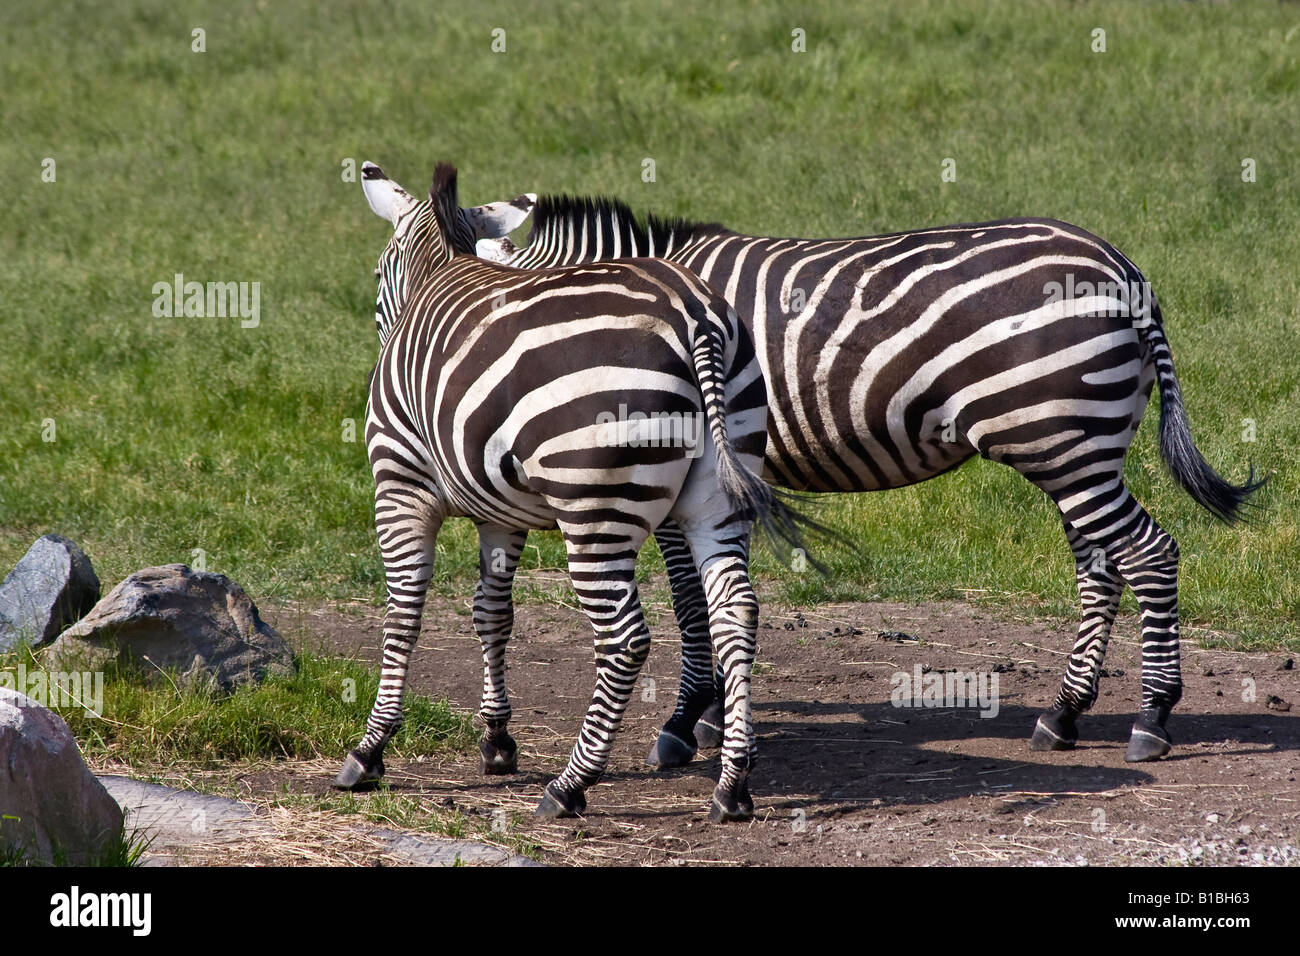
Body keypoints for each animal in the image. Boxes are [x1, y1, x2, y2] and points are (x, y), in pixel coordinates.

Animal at [332, 161, 810, 822]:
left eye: (378, 276)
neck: (445, 269)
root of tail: (695, 316)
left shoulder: (399, 485)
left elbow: (403, 614)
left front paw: (370, 750)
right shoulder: (499, 512)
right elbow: (492, 612)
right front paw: (497, 740)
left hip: (594, 510)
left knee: (626, 638)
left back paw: (569, 785)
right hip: (720, 490)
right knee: (736, 613)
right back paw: (732, 785)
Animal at [476, 192, 1264, 767]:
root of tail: (1122, 269)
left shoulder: (681, 489)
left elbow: (694, 605)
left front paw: (683, 720)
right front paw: (713, 717)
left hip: (1065, 441)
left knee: (1150, 555)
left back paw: (1152, 718)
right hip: (1078, 447)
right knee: (1101, 564)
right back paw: (1063, 715)